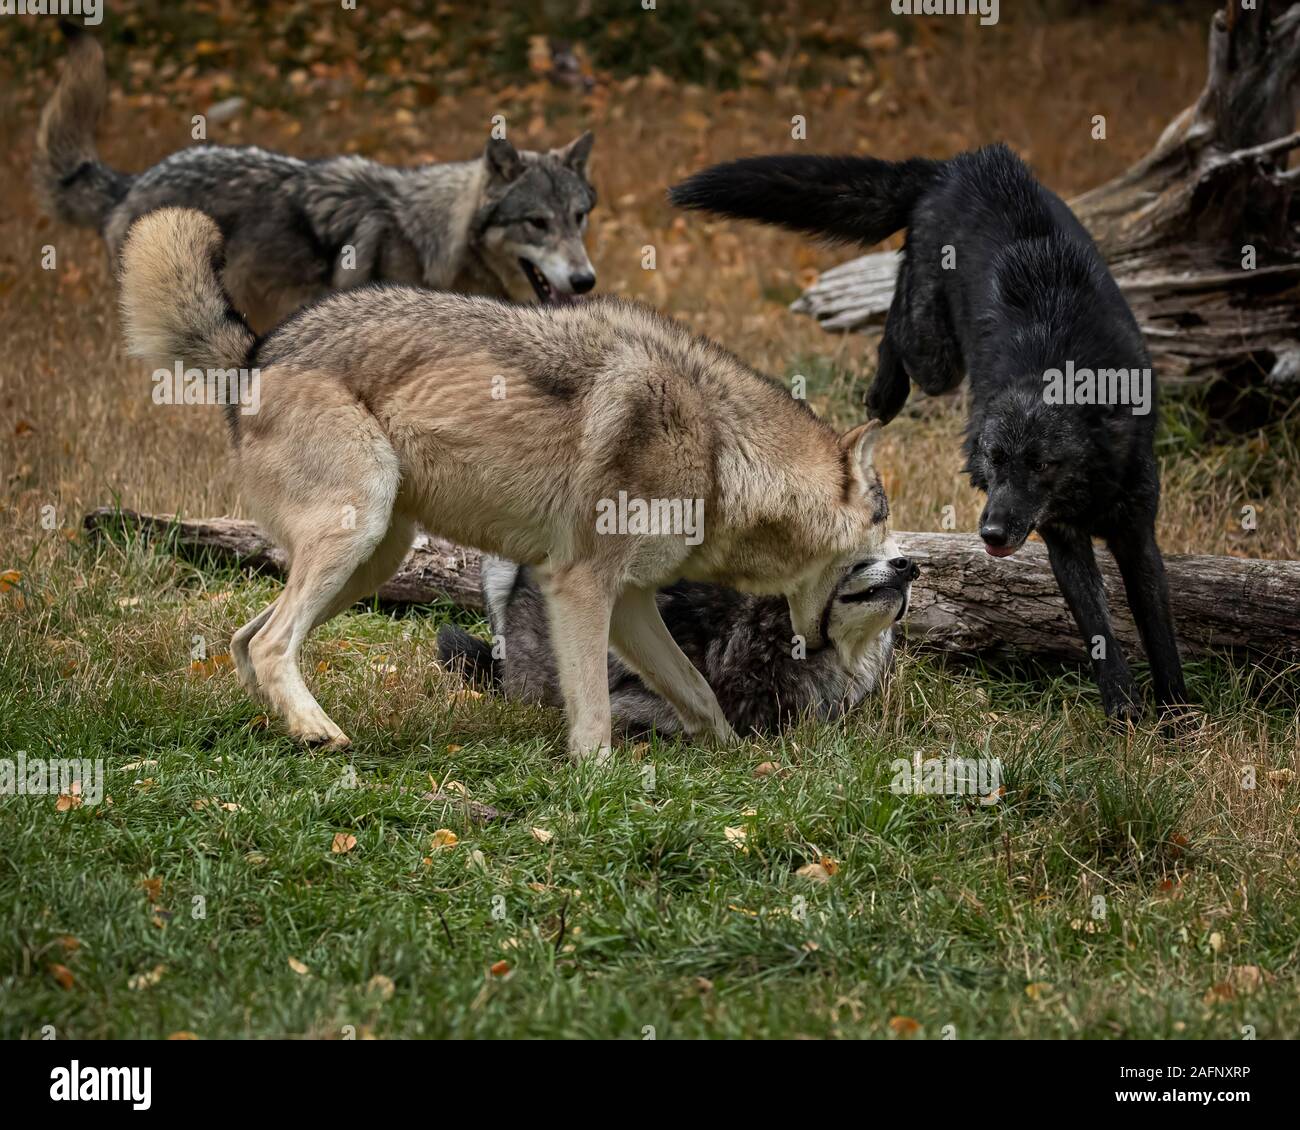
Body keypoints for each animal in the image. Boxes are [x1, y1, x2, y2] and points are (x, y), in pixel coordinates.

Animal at [672, 144, 1187, 721]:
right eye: (995, 460)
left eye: (1042, 465)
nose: (991, 534)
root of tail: (957, 165)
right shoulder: (1065, 540)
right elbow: (1099, 632)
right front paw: (1125, 714)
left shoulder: (1136, 535)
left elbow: (1158, 629)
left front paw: (1177, 714)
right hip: (937, 356)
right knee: (895, 317)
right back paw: (882, 392)